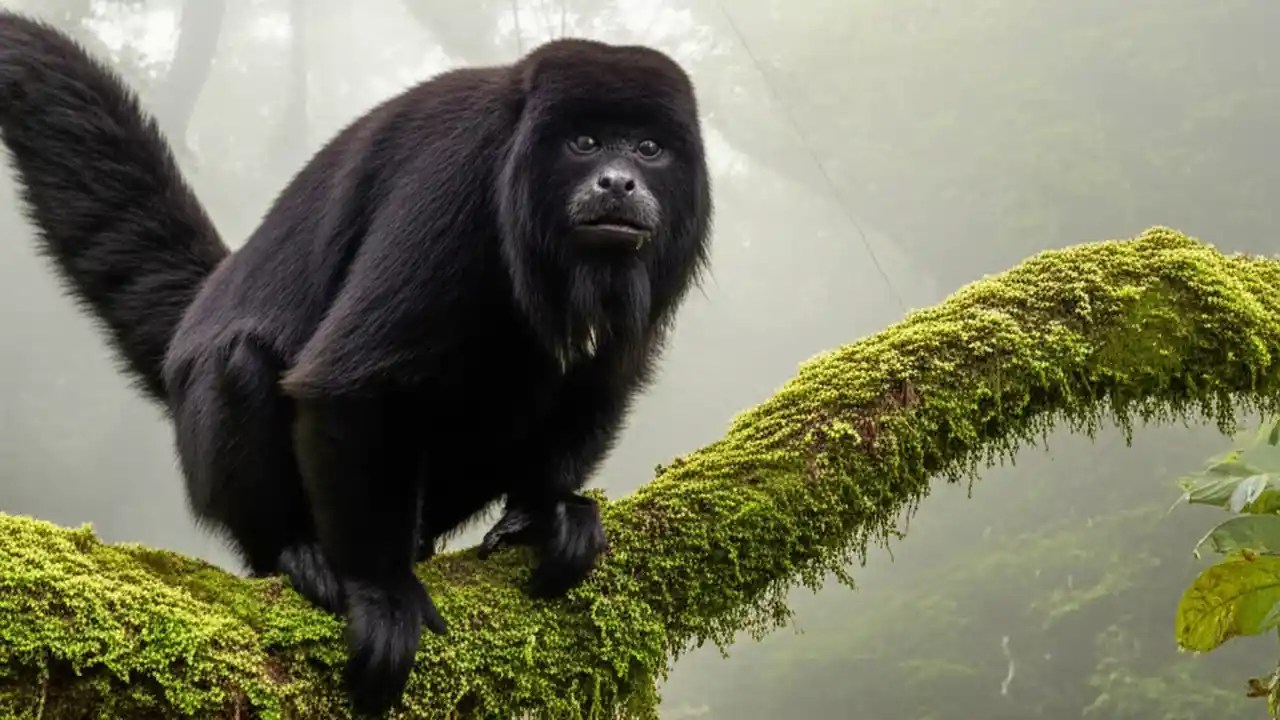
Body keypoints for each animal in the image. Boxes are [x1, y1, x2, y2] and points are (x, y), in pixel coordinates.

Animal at [0, 10, 712, 716]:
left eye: (648, 149)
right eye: (584, 143)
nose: (618, 181)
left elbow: (603, 378)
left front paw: (546, 510)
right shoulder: (456, 174)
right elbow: (352, 379)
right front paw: (380, 591)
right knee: (241, 362)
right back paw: (296, 552)